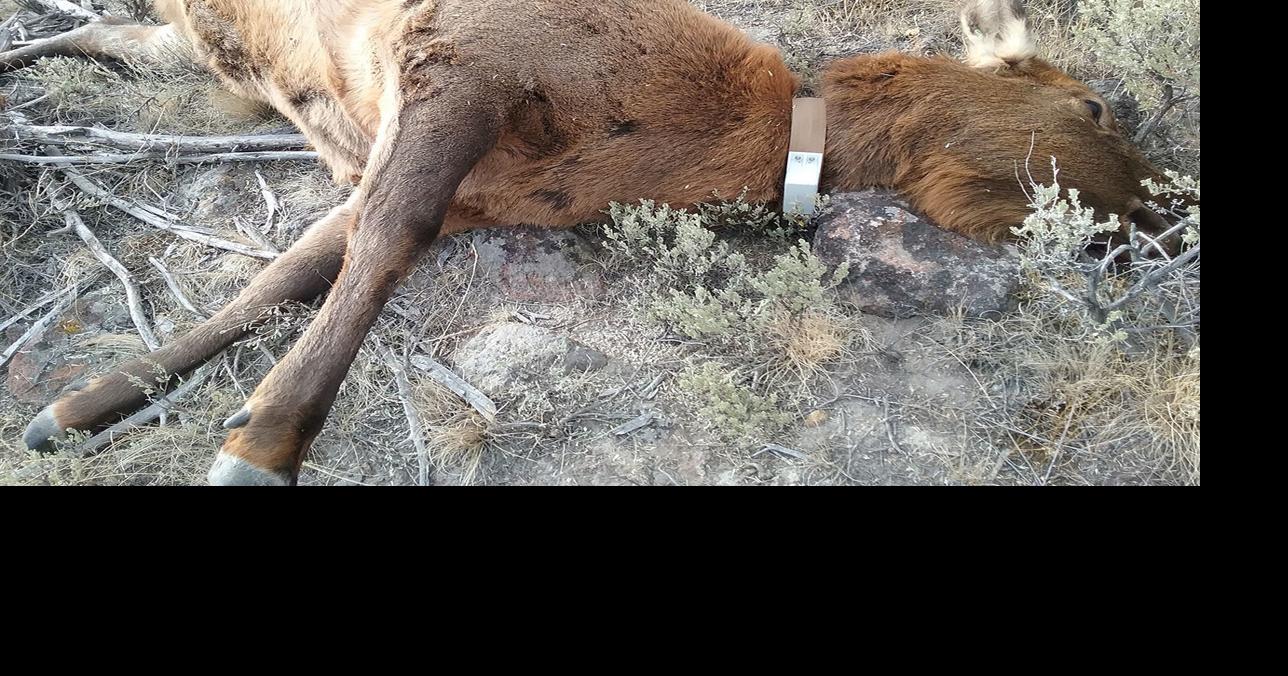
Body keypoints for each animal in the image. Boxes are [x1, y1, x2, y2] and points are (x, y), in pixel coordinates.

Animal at [0, 0, 1180, 485]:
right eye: (1096, 106)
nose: (1168, 216)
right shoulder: (458, 56)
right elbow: (380, 243)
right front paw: (261, 446)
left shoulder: (457, 180)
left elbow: (292, 275)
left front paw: (87, 404)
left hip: (193, 52)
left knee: (107, 31)